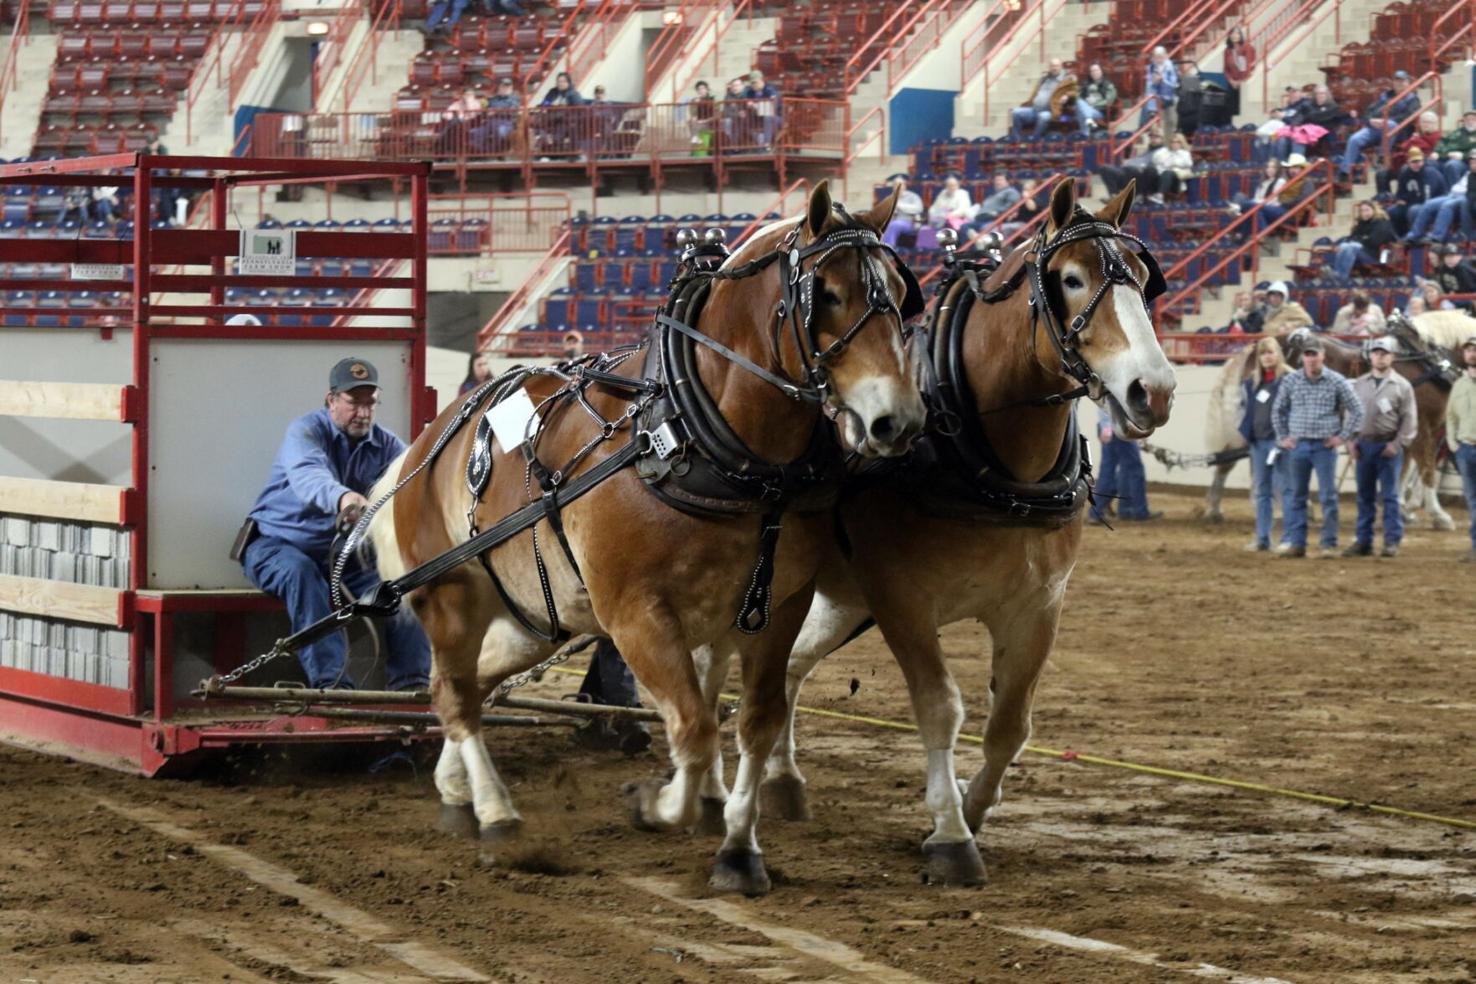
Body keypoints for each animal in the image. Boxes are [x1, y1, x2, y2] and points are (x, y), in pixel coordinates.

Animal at [366, 181, 927, 896]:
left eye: (899, 290)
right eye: (825, 292)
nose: (897, 420)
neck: (692, 438)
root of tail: (422, 445)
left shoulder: (777, 608)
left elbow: (755, 723)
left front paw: (739, 852)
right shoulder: (636, 615)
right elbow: (691, 727)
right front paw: (656, 804)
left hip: (536, 618)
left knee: (471, 681)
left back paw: (455, 790)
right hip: (453, 597)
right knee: (456, 695)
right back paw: (495, 813)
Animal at [701, 179, 1177, 886]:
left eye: (1144, 279)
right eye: (1070, 279)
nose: (1156, 390)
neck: (988, 460)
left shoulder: (1038, 607)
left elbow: (1010, 723)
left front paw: (972, 811)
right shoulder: (903, 602)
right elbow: (940, 708)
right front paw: (951, 835)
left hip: (839, 601)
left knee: (789, 670)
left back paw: (782, 782)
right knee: (711, 670)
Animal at [1201, 315, 1461, 530]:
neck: (1426, 363)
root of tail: (1255, 347)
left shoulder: (1410, 432)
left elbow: (1402, 472)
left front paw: (1400, 510)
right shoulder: (1422, 429)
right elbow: (1426, 469)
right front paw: (1440, 516)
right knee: (1235, 460)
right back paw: (1222, 508)